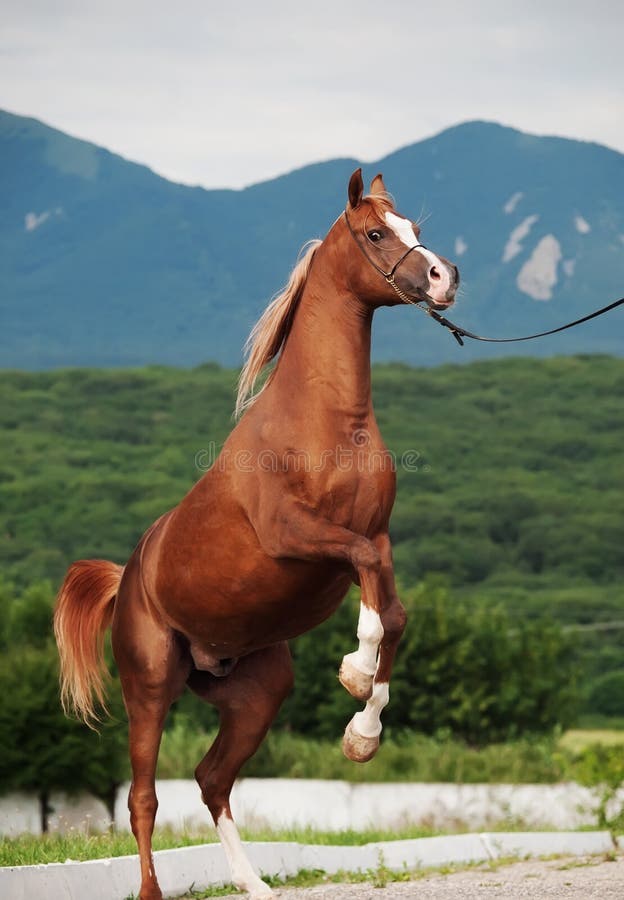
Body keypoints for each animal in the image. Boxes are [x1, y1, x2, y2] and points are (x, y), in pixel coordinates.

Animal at [54, 168, 459, 900]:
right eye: (376, 233)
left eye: (414, 226)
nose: (447, 278)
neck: (329, 421)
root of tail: (128, 580)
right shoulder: (296, 537)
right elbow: (369, 589)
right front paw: (356, 672)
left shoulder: (376, 538)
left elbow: (394, 611)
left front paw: (362, 729)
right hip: (149, 688)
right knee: (144, 797)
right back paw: (154, 890)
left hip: (254, 694)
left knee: (212, 780)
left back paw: (255, 884)